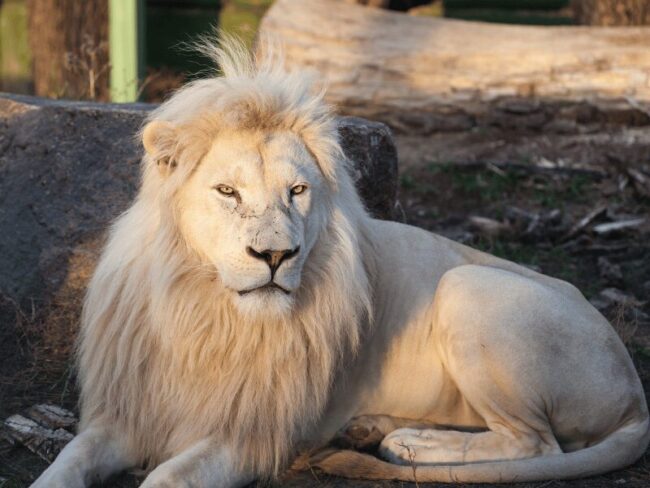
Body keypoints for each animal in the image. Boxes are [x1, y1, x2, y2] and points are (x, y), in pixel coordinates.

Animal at [32, 38, 648, 487]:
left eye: (298, 191)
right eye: (227, 191)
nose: (276, 255)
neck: (206, 313)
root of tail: (635, 393)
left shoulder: (252, 436)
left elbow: (166, 479)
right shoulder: (127, 412)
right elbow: (63, 465)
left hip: (466, 284)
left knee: (535, 442)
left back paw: (413, 444)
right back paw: (373, 428)